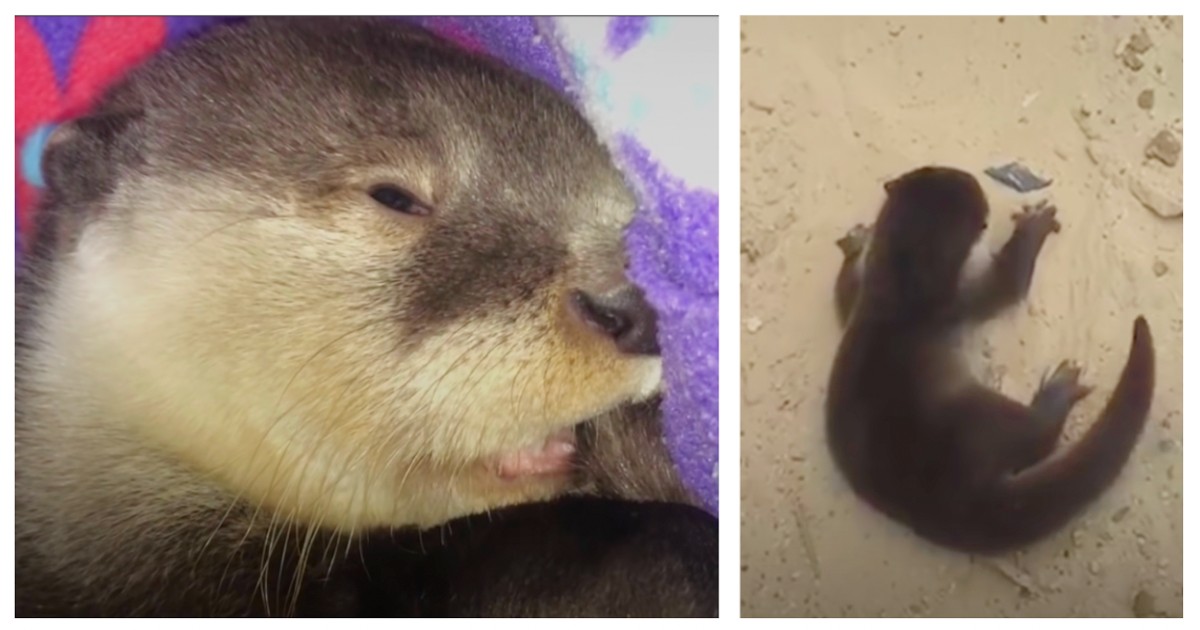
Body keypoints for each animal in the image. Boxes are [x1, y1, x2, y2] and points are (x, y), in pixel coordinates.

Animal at [826, 166, 1154, 553]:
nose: (968, 174)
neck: (901, 282)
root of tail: (947, 504)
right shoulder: (967, 294)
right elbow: (1010, 279)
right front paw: (1035, 224)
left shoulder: (861, 296)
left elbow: (844, 291)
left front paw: (855, 241)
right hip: (980, 418)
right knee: (1039, 434)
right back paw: (1060, 388)